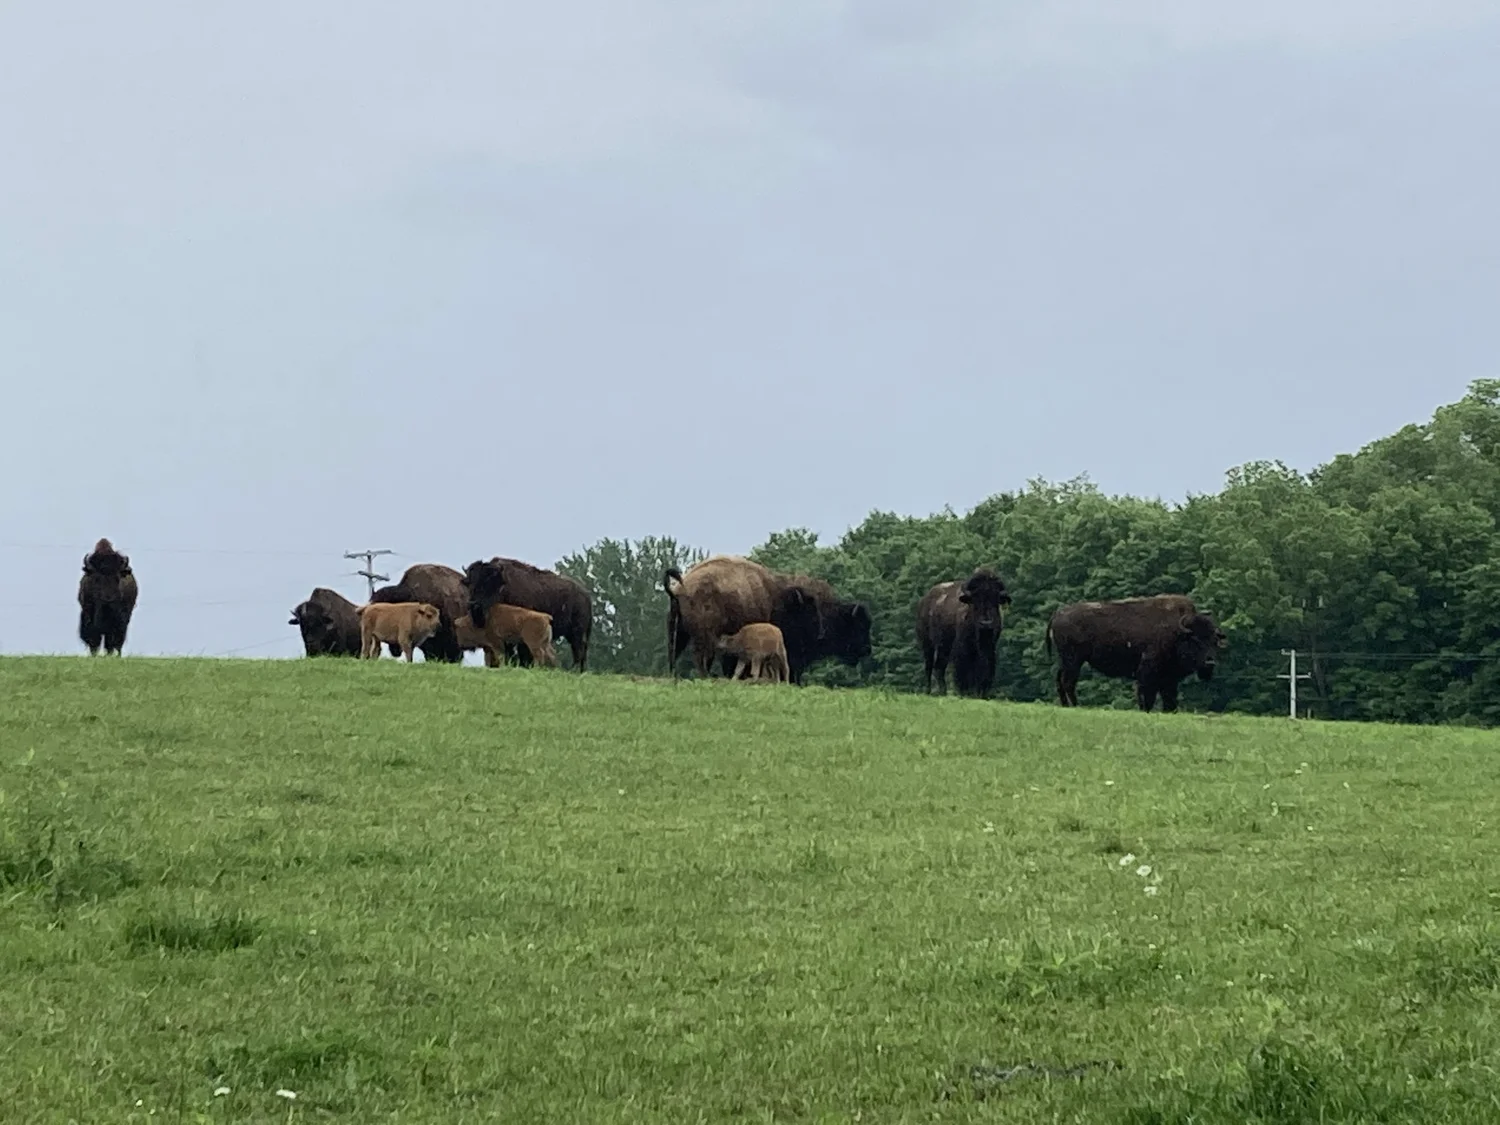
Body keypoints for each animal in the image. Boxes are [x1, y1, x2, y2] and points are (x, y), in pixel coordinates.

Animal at [460, 558, 593, 670]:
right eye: (469, 583)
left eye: (488, 583)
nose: (473, 605)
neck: (504, 586)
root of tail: (586, 595)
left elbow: (522, 651)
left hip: (577, 632)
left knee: (578, 650)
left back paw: (574, 670)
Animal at [663, 554, 871, 685]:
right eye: (860, 626)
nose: (866, 650)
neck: (780, 599)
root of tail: (681, 588)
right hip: (703, 637)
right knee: (701, 659)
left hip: (677, 632)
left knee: (674, 654)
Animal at [916, 567, 1012, 698]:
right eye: (975, 600)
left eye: (996, 600)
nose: (985, 623)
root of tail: (923, 601)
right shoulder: (962, 648)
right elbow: (964, 671)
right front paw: (965, 692)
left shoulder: (989, 648)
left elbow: (985, 669)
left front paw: (982, 693)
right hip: (928, 644)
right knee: (929, 666)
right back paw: (929, 691)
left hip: (943, 647)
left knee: (939, 667)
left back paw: (943, 692)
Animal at [1046, 594, 1226, 713]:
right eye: (1195, 640)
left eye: (1214, 642)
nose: (1209, 663)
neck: (1177, 633)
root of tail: (1058, 614)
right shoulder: (1147, 672)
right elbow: (1147, 695)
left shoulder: (1169, 678)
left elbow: (1169, 699)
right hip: (1074, 661)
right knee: (1068, 682)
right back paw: (1076, 706)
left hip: (1066, 661)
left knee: (1060, 680)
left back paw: (1065, 705)